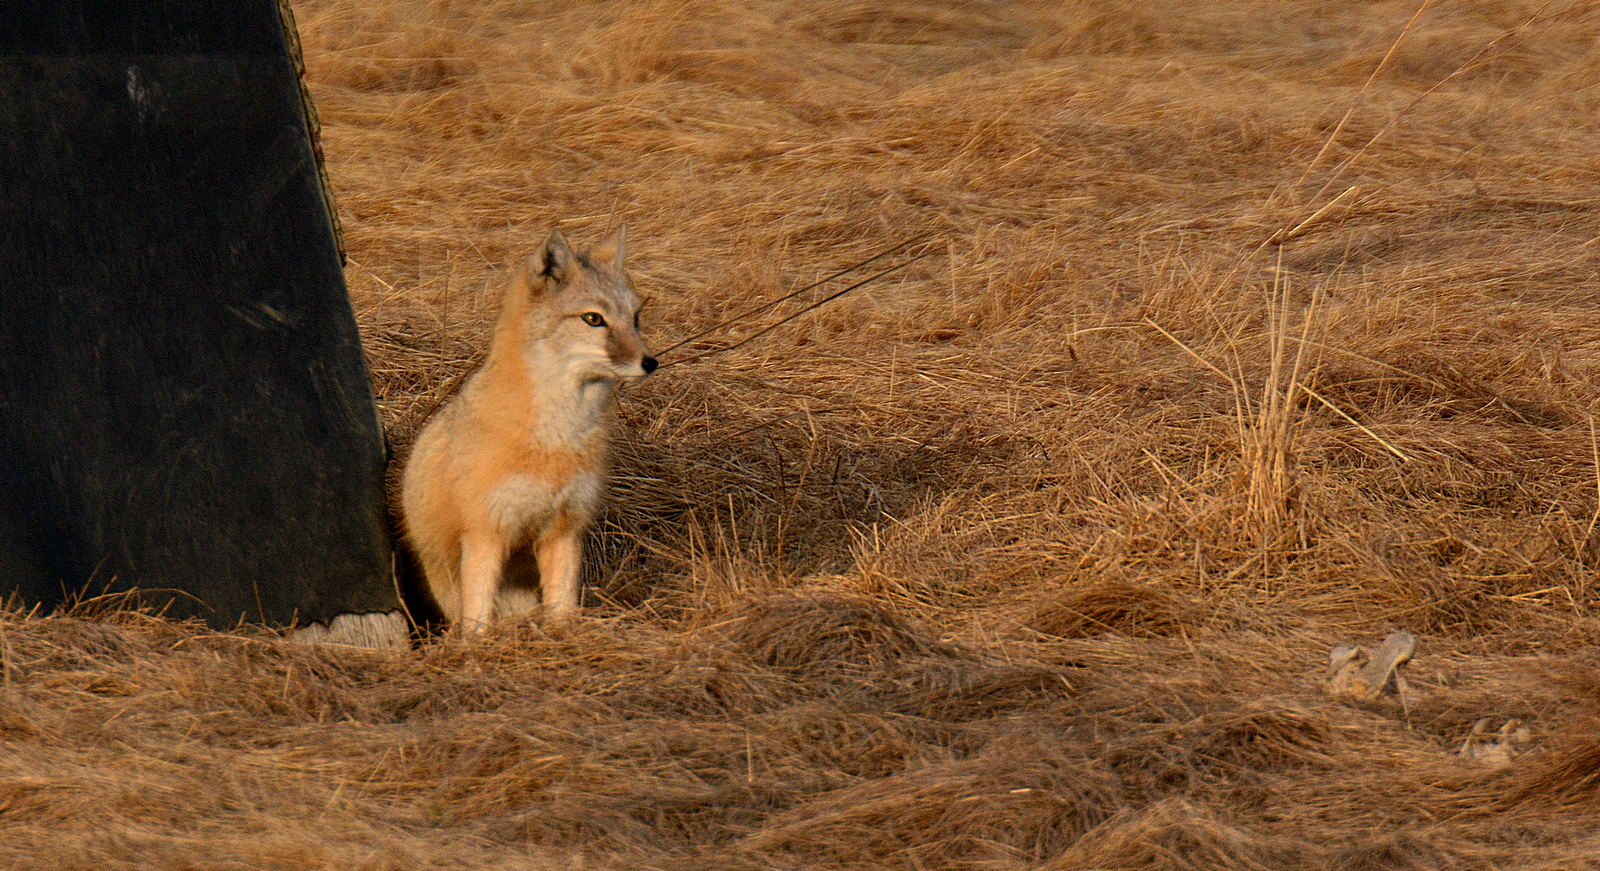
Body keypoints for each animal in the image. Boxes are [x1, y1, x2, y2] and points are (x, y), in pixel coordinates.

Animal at [400, 225, 656, 631]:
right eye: (594, 319)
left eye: (636, 318)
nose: (650, 362)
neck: (557, 440)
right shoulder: (485, 534)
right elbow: (477, 621)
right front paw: (480, 645)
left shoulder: (564, 531)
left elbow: (563, 607)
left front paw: (563, 637)